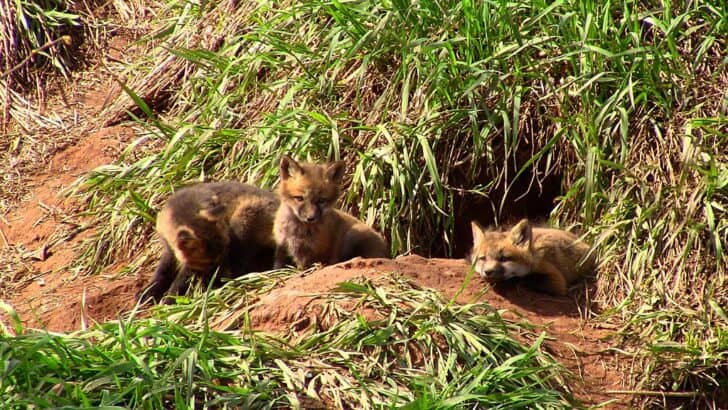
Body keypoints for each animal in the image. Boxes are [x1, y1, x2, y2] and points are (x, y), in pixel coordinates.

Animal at [137, 181, 279, 303]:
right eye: (210, 263)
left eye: (224, 252)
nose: (219, 277)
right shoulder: (169, 249)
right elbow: (162, 271)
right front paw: (148, 291)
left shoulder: (191, 263)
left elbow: (181, 280)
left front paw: (170, 299)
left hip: (242, 221)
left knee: (242, 267)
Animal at [468, 218, 596, 296]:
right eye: (482, 258)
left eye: (504, 258)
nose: (488, 272)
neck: (533, 254)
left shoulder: (557, 281)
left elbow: (525, 279)